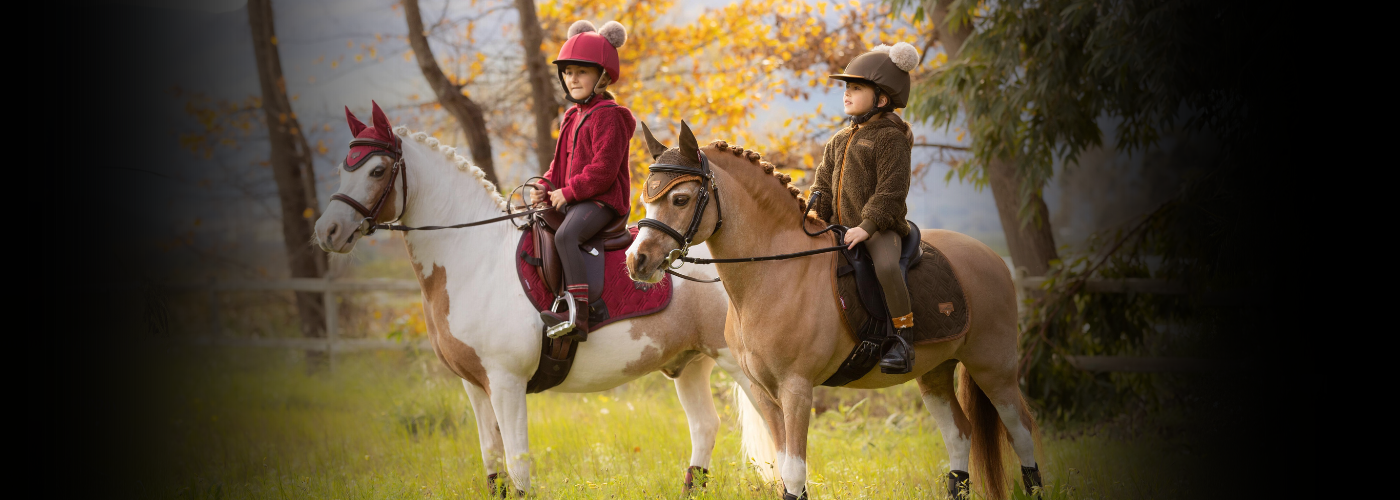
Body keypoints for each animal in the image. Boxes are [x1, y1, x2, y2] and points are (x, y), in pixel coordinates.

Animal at [312, 107, 773, 495]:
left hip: (739, 367)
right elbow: (493, 463)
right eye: (342, 169)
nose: (327, 232)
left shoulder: (506, 383)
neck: (473, 256)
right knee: (706, 427)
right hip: (690, 364)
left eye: (376, 170)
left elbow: (517, 465)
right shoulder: (474, 386)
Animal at [624, 121, 1042, 500]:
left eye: (680, 199)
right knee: (959, 434)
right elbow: (784, 468)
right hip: (935, 373)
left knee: (1021, 432)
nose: (636, 261)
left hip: (993, 367)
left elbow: (794, 473)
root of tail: (993, 258)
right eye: (647, 198)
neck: (774, 271)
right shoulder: (764, 391)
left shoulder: (796, 388)